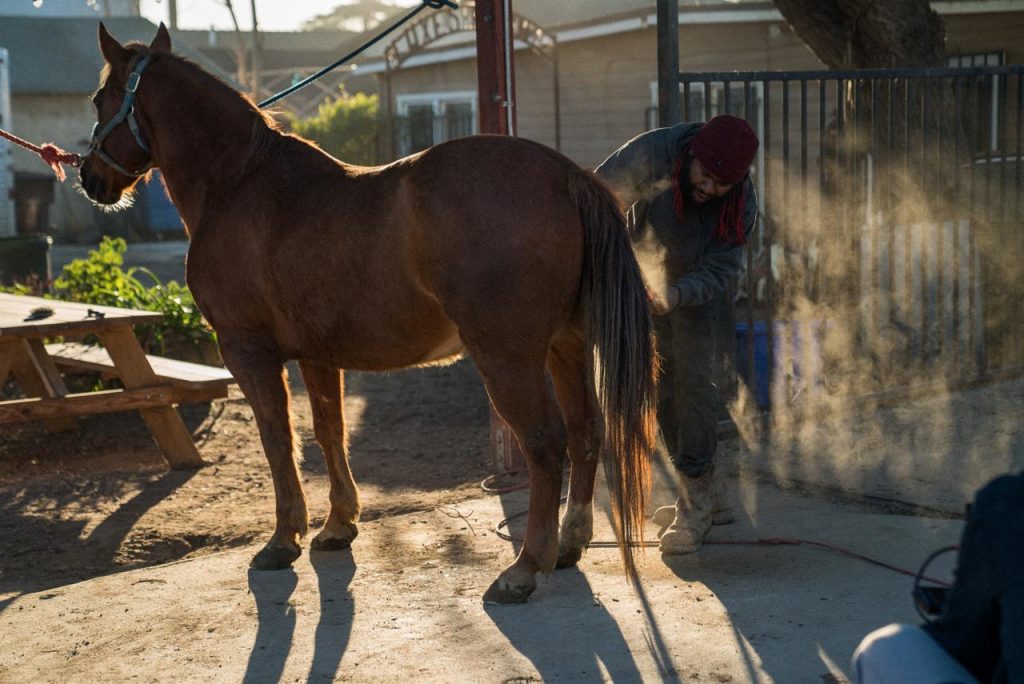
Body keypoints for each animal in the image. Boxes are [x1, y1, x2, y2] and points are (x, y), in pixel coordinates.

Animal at [79, 23, 657, 604]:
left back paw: (523, 569)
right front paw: (338, 525)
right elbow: (328, 431)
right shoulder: (318, 355)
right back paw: (569, 543)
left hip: (507, 357)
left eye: (100, 98)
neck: (238, 182)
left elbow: (277, 438)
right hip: (566, 345)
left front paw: (283, 539)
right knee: (586, 431)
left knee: (545, 442)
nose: (89, 178)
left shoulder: (247, 350)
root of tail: (564, 174)